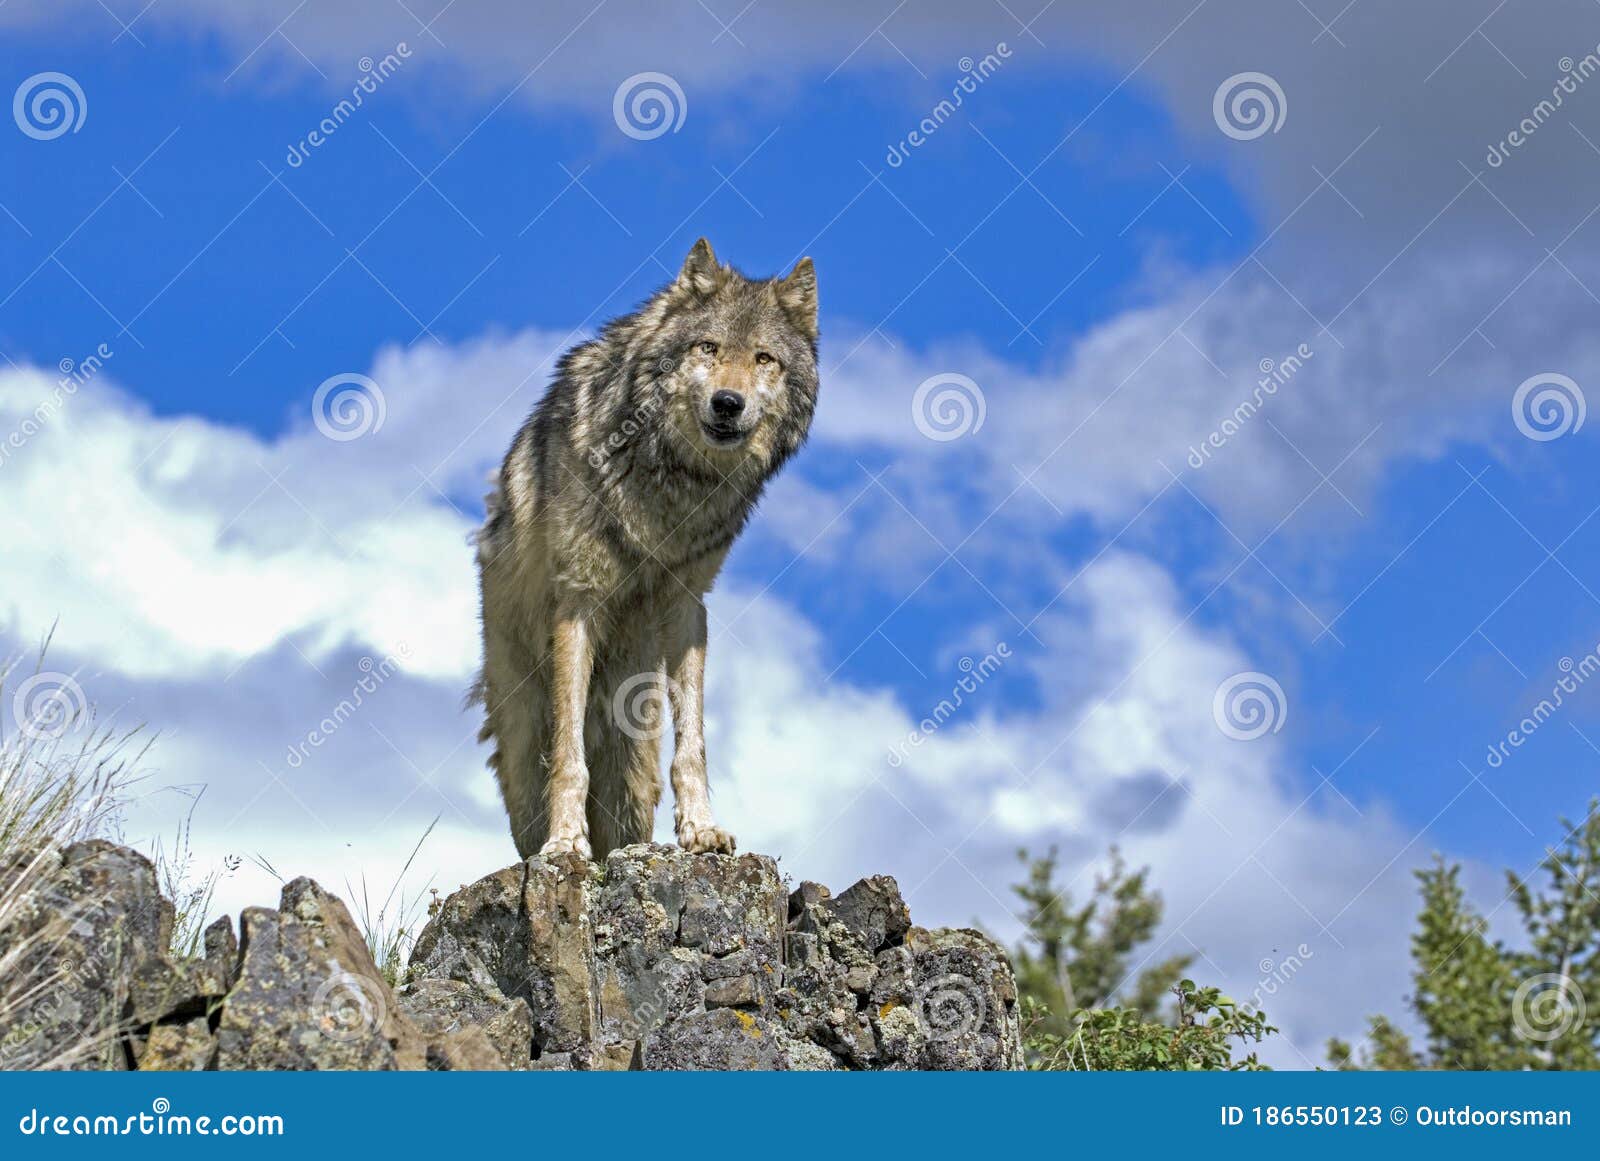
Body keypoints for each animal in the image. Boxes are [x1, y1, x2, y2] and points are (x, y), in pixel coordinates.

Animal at [474, 239, 819, 861]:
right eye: (708, 348)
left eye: (764, 359)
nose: (727, 404)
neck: (670, 478)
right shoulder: (579, 600)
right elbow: (568, 759)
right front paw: (566, 843)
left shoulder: (687, 604)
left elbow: (693, 747)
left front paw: (702, 829)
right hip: (522, 730)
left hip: (631, 754)